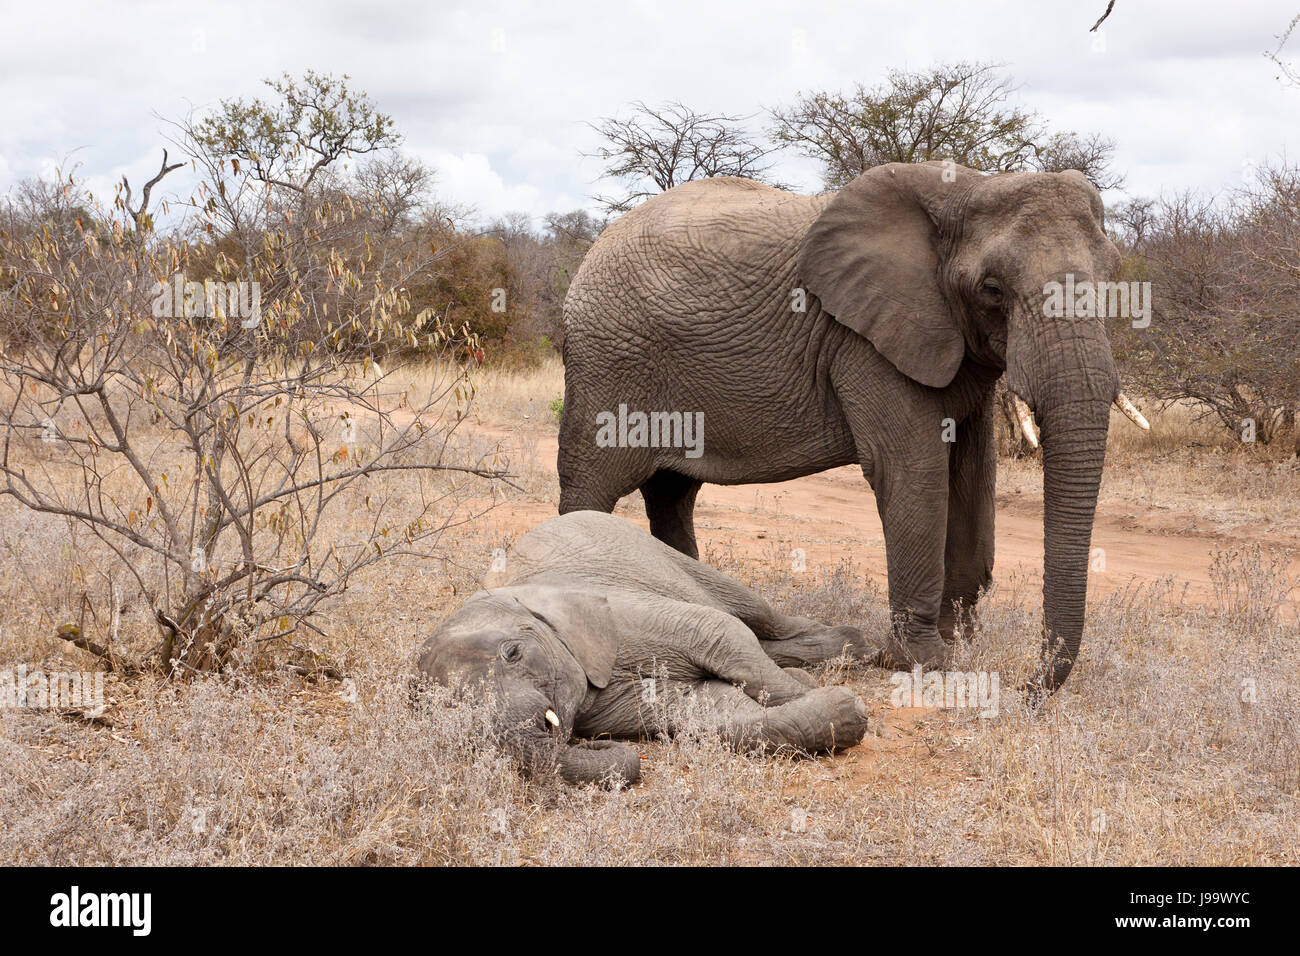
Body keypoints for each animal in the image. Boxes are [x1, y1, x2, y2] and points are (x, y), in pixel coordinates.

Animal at [415, 510, 874, 786]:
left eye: (512, 653)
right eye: (452, 710)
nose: (591, 743)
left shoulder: (619, 613)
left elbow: (719, 633)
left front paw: (842, 702)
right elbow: (709, 713)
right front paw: (843, 710)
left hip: (666, 557)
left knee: (754, 615)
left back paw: (868, 646)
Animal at [557, 161, 1150, 694]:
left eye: (1112, 275)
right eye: (992, 289)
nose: (1026, 687)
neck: (966, 187)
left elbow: (973, 478)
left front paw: (961, 646)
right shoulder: (863, 341)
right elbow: (911, 471)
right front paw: (926, 662)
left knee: (672, 496)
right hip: (607, 364)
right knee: (593, 488)